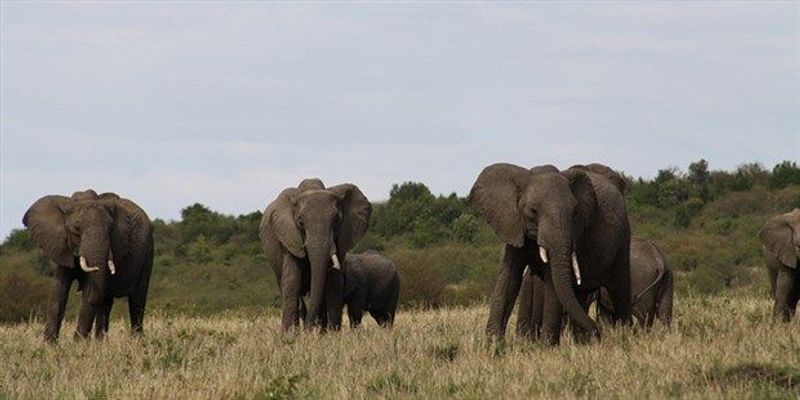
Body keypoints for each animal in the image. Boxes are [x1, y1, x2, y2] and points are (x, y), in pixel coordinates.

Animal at [22, 189, 154, 342]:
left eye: (111, 229)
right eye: (76, 229)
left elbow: (91, 289)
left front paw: (78, 343)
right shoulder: (63, 247)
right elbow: (58, 289)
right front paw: (49, 344)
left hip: (148, 250)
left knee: (137, 299)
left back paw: (137, 341)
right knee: (106, 303)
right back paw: (101, 341)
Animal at [259, 178, 371, 332]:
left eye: (336, 220)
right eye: (300, 222)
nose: (309, 327)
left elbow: (334, 283)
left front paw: (332, 335)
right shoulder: (289, 236)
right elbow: (292, 281)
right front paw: (288, 336)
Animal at [469, 163, 631, 344]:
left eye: (575, 212)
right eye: (533, 211)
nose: (598, 333)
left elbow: (552, 282)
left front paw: (546, 346)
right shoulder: (514, 226)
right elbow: (508, 278)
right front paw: (494, 344)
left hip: (623, 236)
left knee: (620, 288)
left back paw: (626, 335)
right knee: (580, 296)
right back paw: (583, 342)